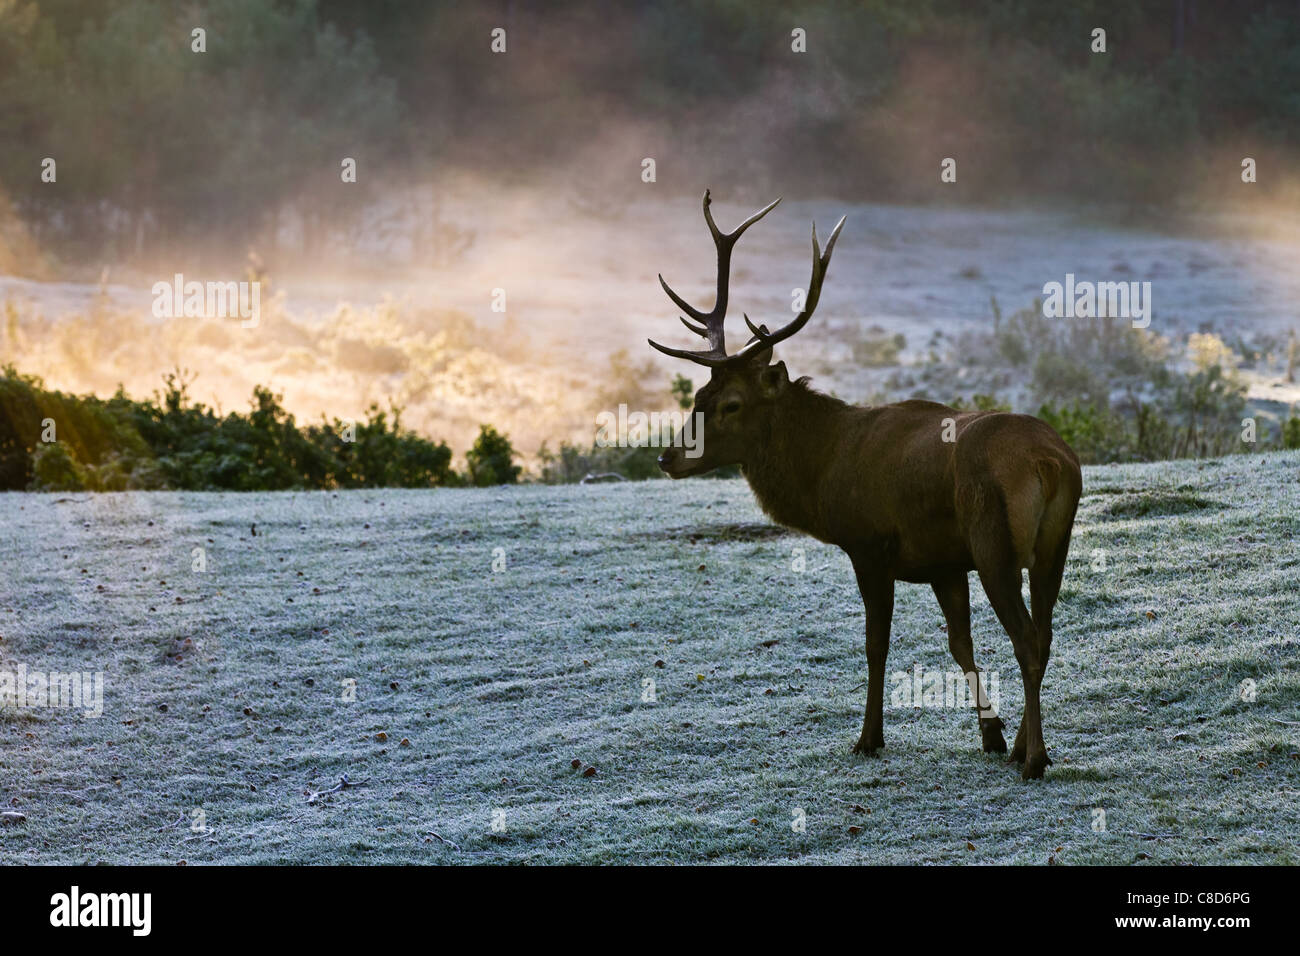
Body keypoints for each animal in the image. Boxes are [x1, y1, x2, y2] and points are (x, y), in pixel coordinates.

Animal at [649, 190, 1082, 780]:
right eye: (697, 395)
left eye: (730, 405)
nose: (668, 456)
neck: (824, 470)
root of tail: (1050, 462)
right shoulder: (944, 562)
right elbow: (960, 644)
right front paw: (991, 735)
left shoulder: (869, 545)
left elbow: (877, 645)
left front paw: (869, 737)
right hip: (1053, 544)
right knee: (1045, 631)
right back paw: (1024, 746)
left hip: (995, 541)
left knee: (1028, 640)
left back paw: (1035, 758)